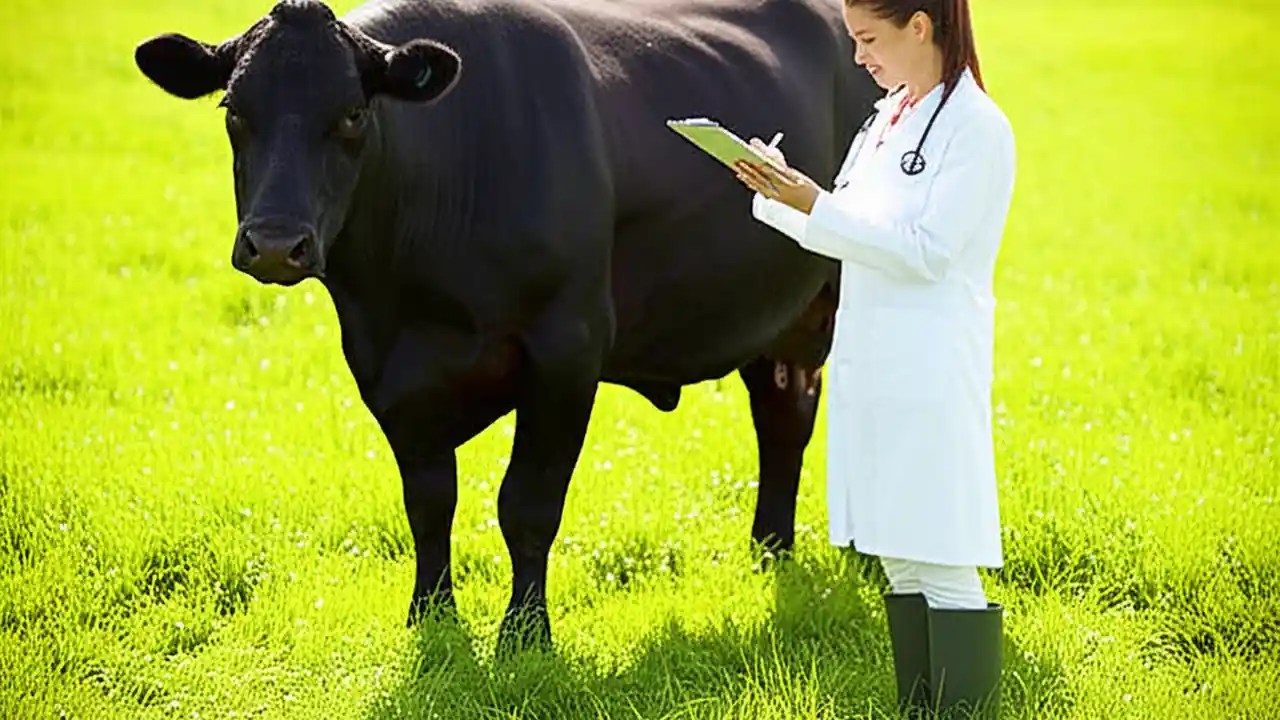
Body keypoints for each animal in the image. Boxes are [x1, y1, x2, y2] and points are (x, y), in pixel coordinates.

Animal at [133, 0, 881, 651]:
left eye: (351, 113)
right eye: (234, 111)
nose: (274, 244)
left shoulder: (567, 350)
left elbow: (527, 504)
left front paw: (525, 635)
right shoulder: (386, 365)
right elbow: (429, 502)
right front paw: (430, 616)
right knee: (783, 421)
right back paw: (770, 550)